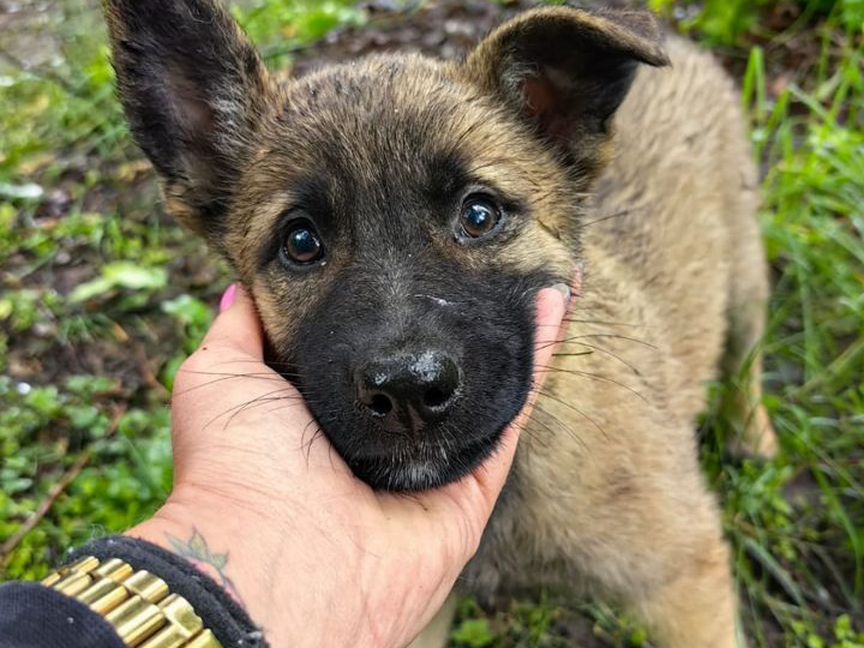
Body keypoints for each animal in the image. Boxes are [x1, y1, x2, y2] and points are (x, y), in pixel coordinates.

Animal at [103, 2, 776, 644]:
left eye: (479, 215)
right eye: (300, 242)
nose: (406, 391)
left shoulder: (684, 579)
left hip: (746, 274)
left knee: (747, 359)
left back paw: (753, 435)